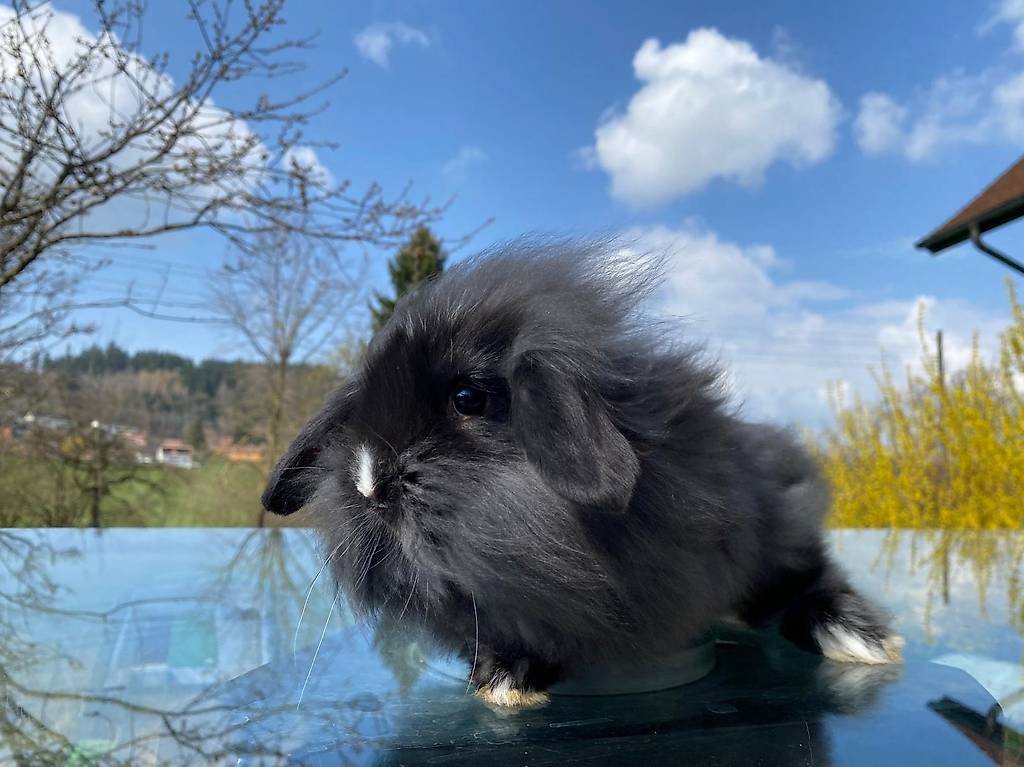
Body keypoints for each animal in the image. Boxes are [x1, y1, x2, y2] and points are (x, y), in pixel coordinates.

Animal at [262, 240, 903, 709]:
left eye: (469, 399)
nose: (368, 482)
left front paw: (507, 683)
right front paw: (501, 677)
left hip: (783, 533)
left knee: (809, 579)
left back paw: (862, 638)